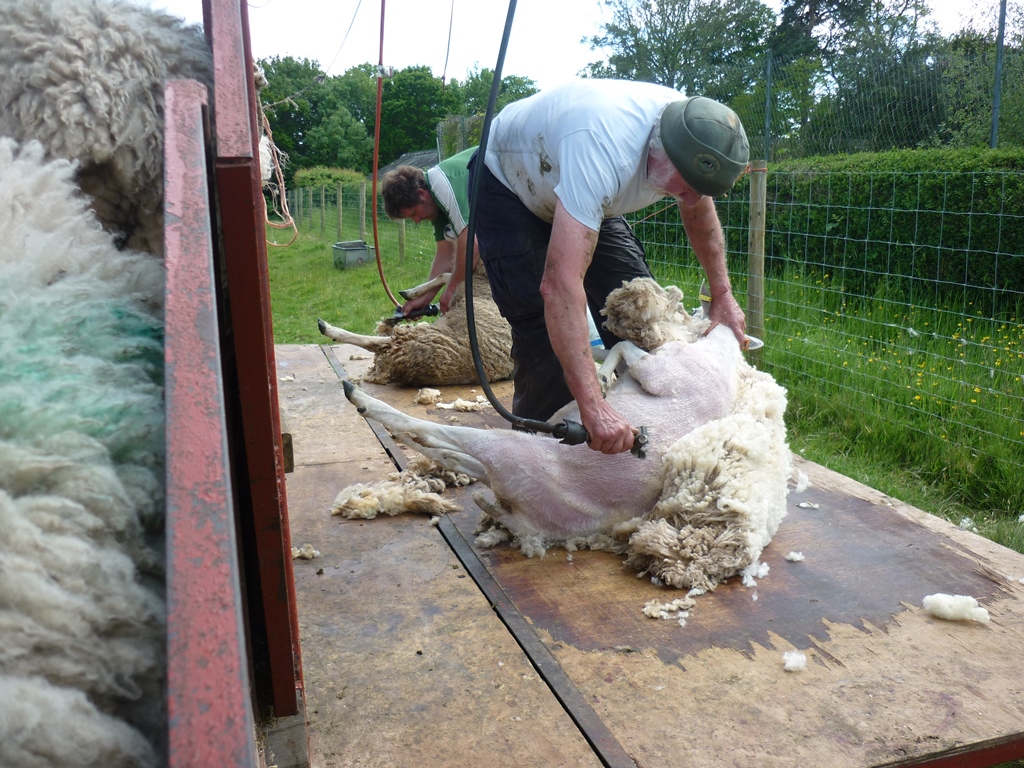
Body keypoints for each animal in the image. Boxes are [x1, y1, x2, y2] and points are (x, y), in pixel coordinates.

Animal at [318, 263, 514, 386]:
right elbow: (446, 276)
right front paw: (412, 293)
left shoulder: (463, 289)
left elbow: (446, 276)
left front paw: (412, 292)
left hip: (420, 337)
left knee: (374, 342)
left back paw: (327, 328)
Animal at [335, 277, 792, 593]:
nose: (705, 302)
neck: (720, 352)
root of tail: (528, 519)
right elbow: (616, 347)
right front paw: (603, 375)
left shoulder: (658, 373)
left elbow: (624, 346)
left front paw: (604, 377)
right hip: (515, 472)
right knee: (456, 457)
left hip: (512, 455)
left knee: (433, 435)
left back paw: (361, 398)